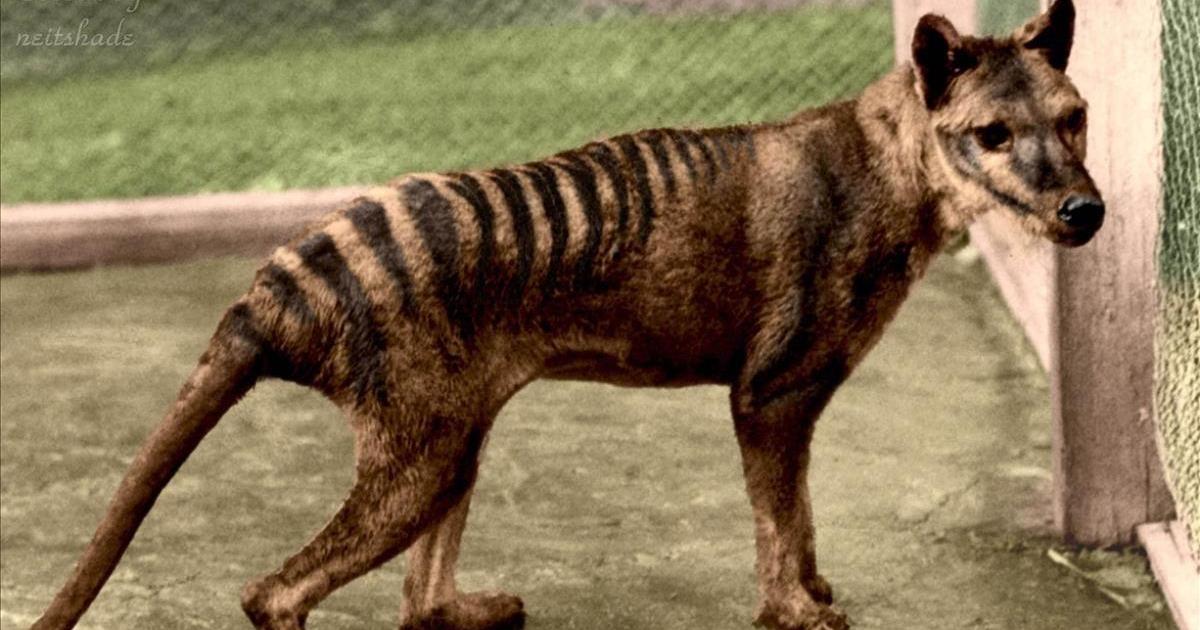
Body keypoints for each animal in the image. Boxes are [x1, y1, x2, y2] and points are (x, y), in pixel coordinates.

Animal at [32, 1, 1101, 628]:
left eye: (1075, 118)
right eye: (991, 135)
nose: (1083, 212)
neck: (891, 167)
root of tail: (276, 285)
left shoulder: (789, 405)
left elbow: (800, 517)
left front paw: (814, 587)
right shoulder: (770, 396)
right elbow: (778, 520)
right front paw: (793, 610)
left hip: (454, 439)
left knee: (418, 602)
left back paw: (466, 608)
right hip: (421, 456)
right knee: (273, 594)